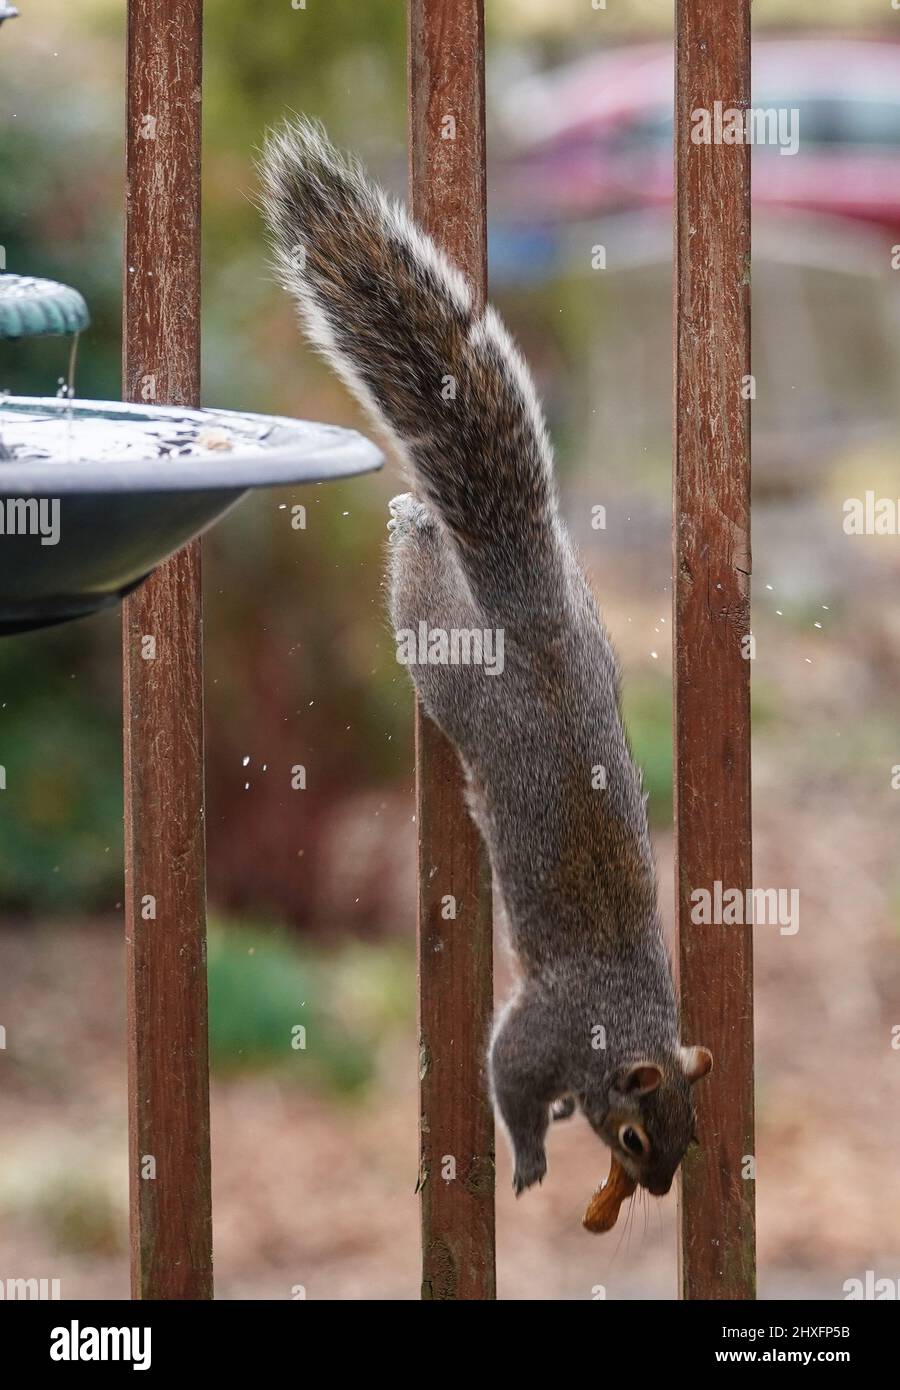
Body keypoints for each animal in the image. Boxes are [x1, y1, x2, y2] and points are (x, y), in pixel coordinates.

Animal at [259, 118, 713, 1201]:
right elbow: (506, 1074)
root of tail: (529, 600)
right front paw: (533, 1157)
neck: (622, 1021)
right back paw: (413, 527)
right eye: (638, 1138)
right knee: (419, 600)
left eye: (694, 1135)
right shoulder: (541, 1031)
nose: (658, 1193)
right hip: (451, 667)